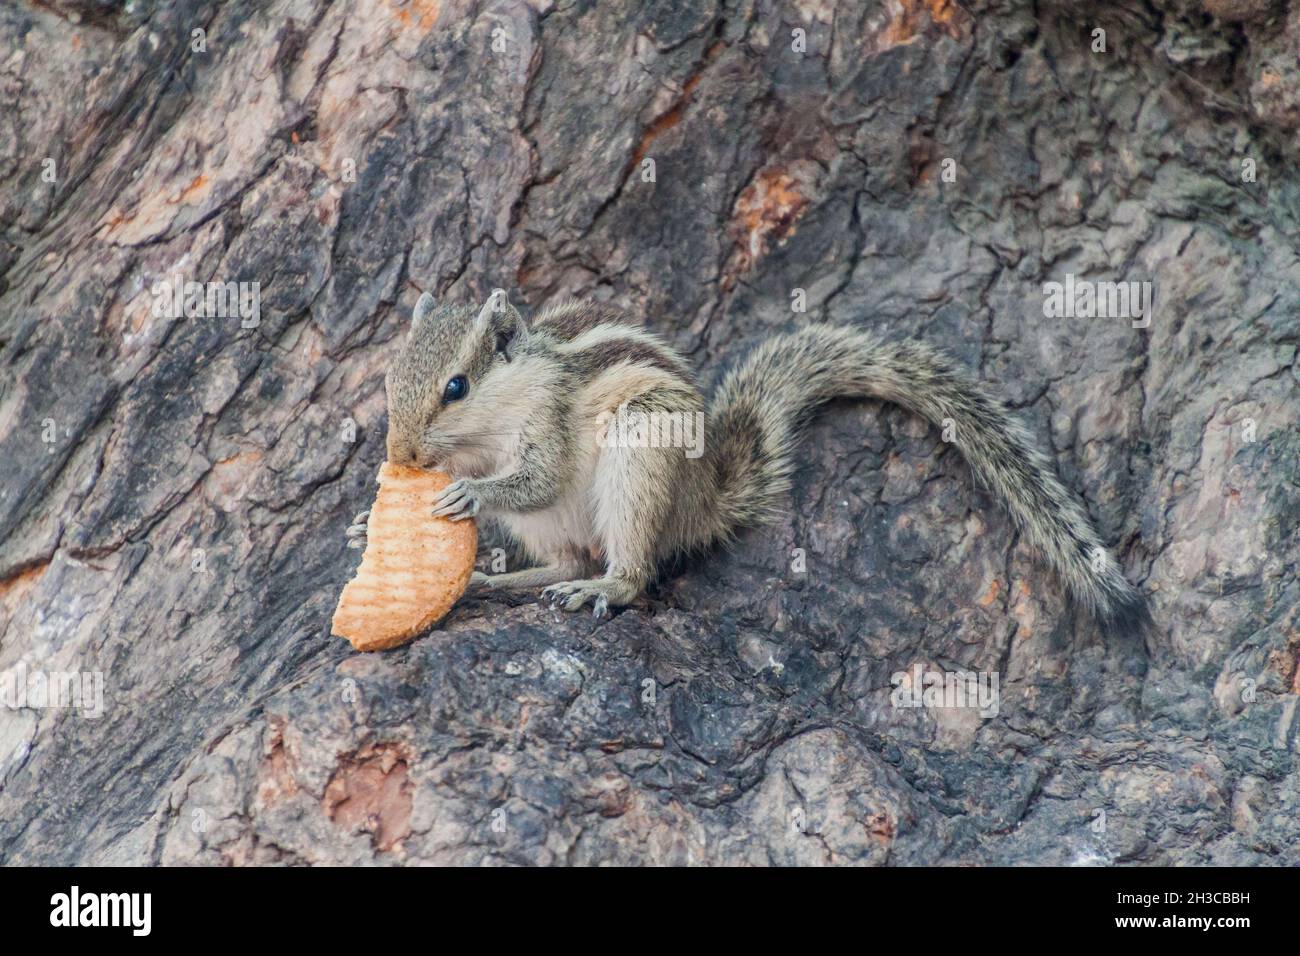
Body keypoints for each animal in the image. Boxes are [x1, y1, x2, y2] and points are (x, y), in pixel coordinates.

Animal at [347, 289, 1151, 636]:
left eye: (456, 387)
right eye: (389, 379)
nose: (400, 455)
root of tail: (704, 498)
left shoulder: (547, 424)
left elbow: (534, 477)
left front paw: (469, 496)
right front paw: (367, 522)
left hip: (643, 455)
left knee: (629, 571)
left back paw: (601, 589)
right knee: (566, 561)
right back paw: (494, 584)